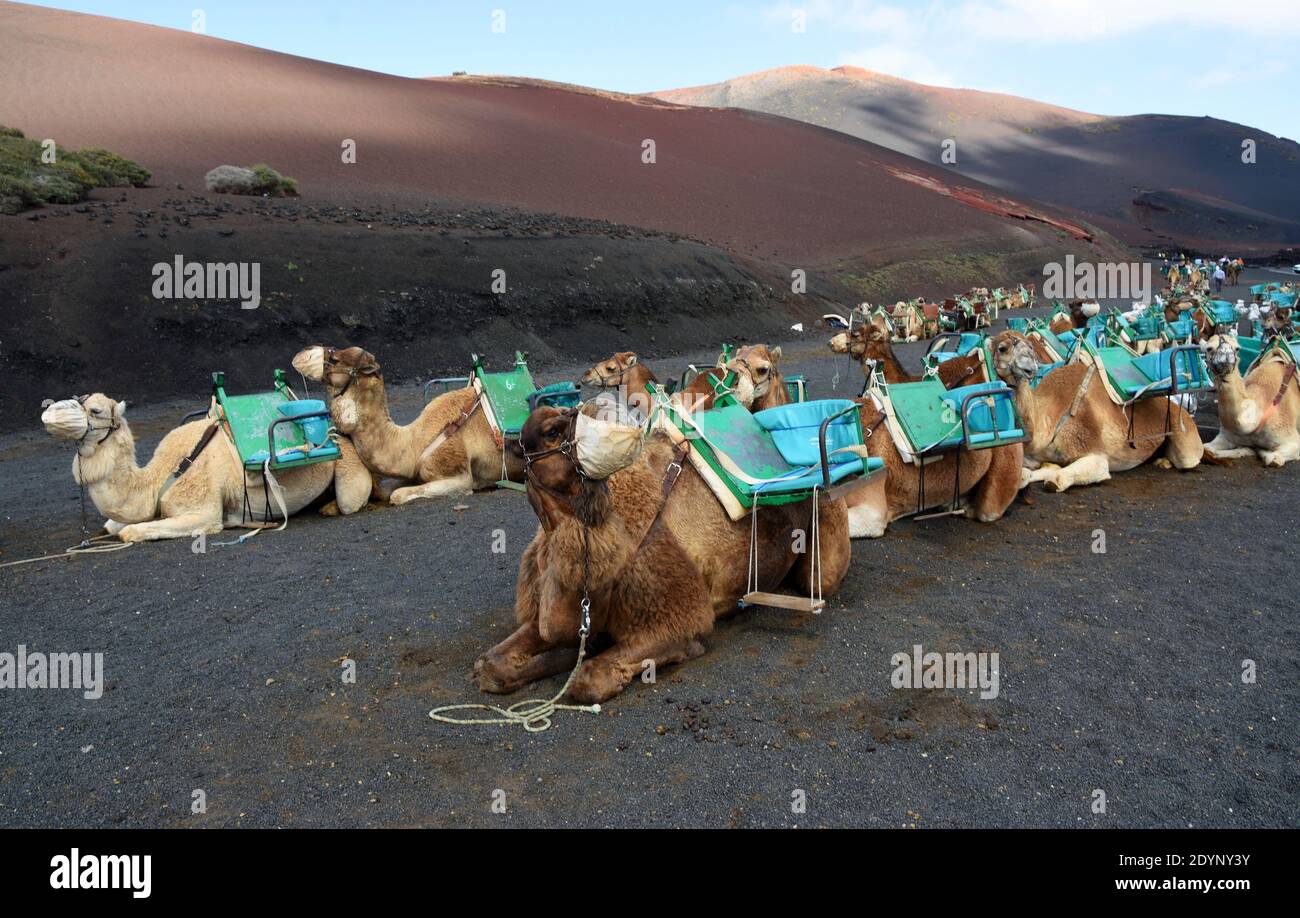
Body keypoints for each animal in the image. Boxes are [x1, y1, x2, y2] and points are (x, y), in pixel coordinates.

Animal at [39, 393, 371, 541]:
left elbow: (131, 532)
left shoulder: (203, 512)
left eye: (94, 409)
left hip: (349, 470)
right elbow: (112, 525)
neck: (162, 476)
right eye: (79, 398)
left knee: (350, 500)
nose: (49, 412)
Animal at [292, 345, 521, 505]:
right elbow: (387, 490)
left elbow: (397, 495)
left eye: (335, 358)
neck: (414, 443)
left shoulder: (460, 476)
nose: (303, 351)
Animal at [986, 330, 1203, 492]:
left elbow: (1062, 476)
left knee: (1189, 459)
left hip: (1185, 437)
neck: (1047, 418)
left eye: (1030, 347)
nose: (1029, 368)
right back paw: (1160, 460)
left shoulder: (1095, 452)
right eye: (1002, 348)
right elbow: (1026, 474)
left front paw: (1052, 478)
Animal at [1201, 335, 1300, 467]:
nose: (1226, 353)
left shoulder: (1291, 440)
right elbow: (1206, 448)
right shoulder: (1226, 435)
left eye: (1237, 348)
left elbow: (1273, 458)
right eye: (1209, 348)